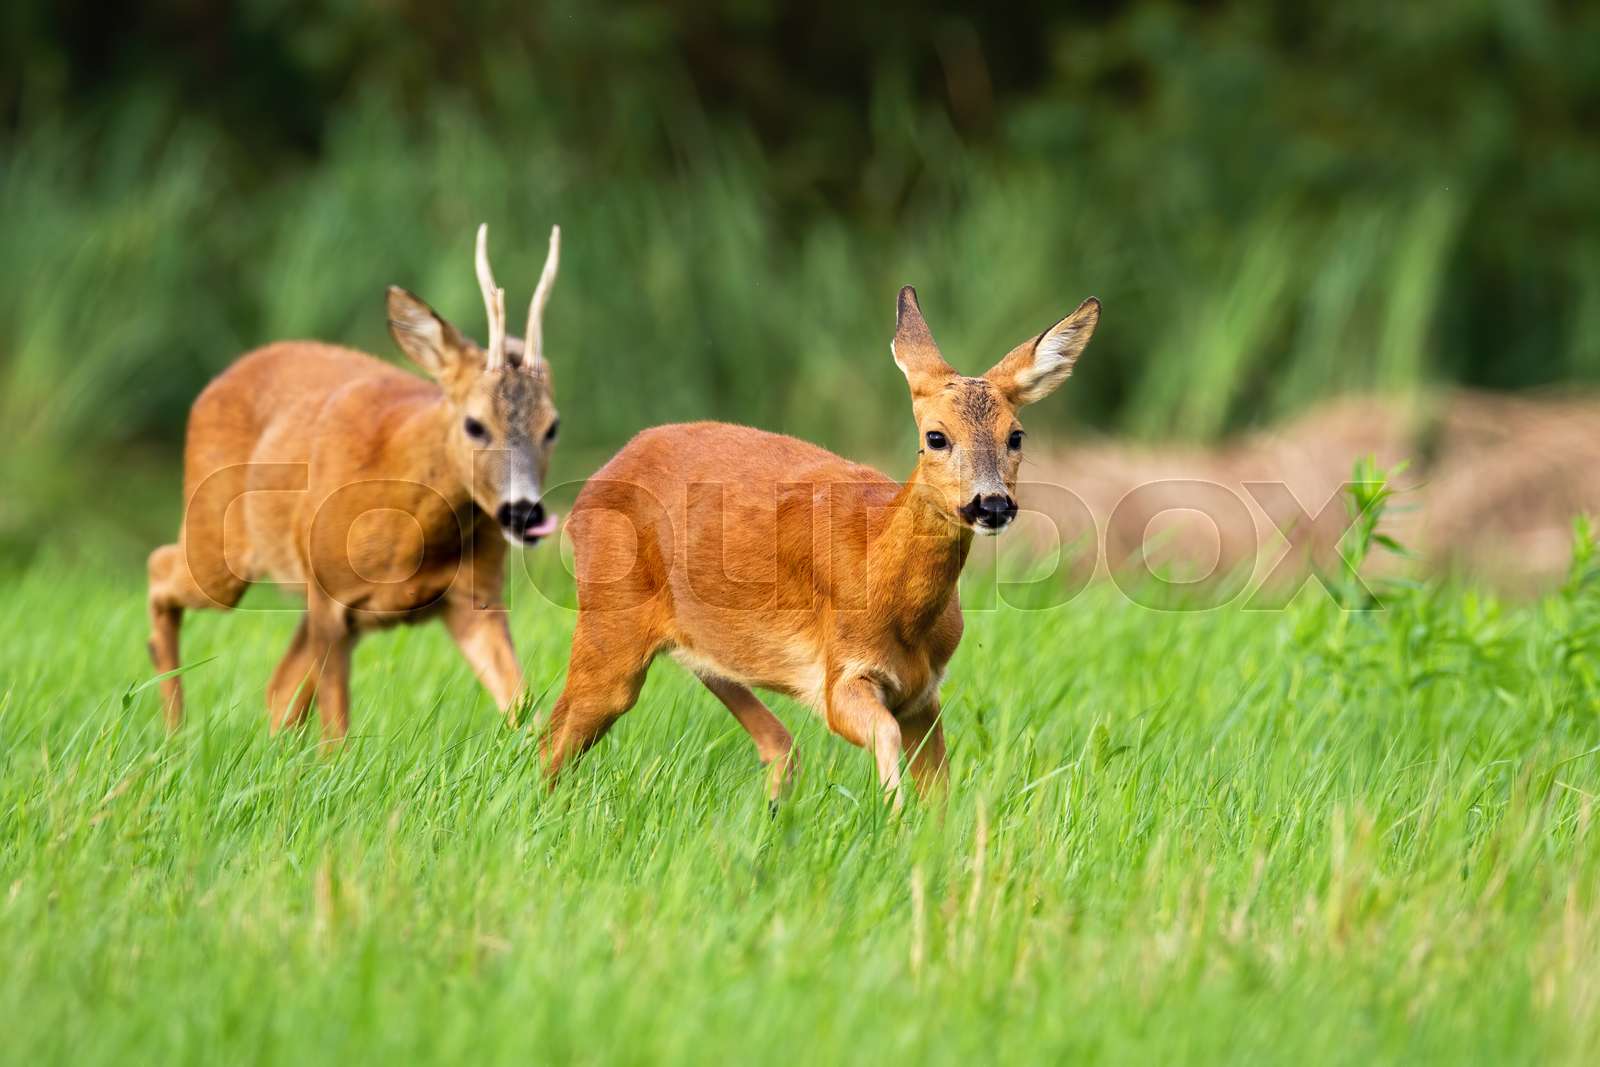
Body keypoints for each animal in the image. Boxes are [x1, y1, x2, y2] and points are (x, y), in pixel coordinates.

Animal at [146, 224, 564, 742]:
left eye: (553, 427)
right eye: (474, 424)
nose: (524, 512)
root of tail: (218, 379)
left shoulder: (477, 596)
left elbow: (524, 706)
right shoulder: (329, 593)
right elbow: (336, 731)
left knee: (279, 688)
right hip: (220, 545)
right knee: (158, 567)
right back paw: (173, 727)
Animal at [543, 286, 1099, 802]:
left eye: (1016, 436)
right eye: (936, 436)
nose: (993, 504)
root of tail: (594, 481)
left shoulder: (922, 691)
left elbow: (940, 791)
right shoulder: (841, 673)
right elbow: (883, 734)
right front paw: (892, 816)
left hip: (705, 641)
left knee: (773, 738)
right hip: (609, 622)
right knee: (555, 731)